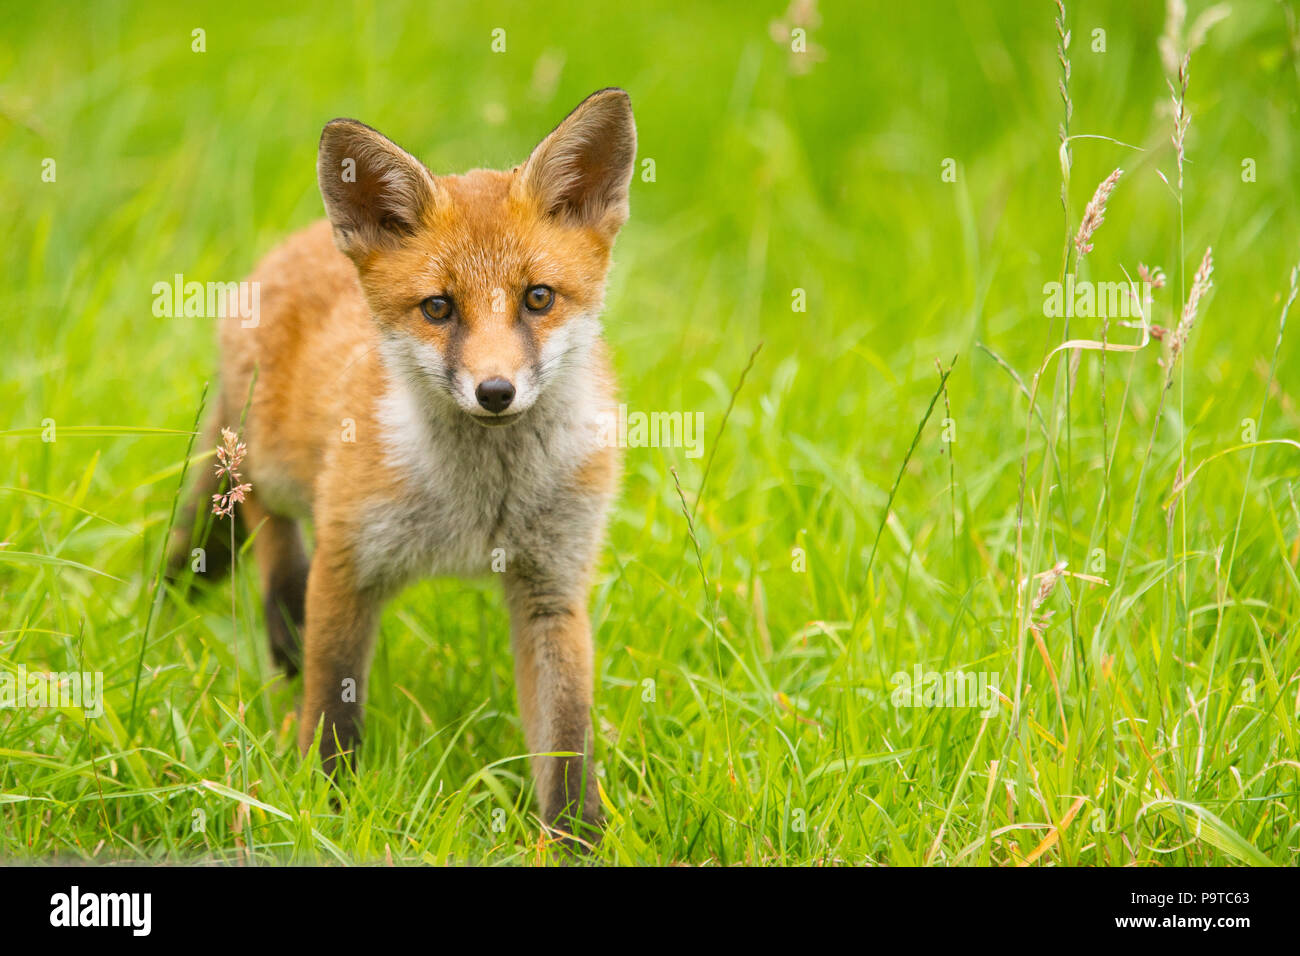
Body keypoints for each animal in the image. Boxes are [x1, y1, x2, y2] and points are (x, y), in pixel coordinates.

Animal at [169, 89, 636, 841]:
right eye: (438, 308)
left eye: (538, 297)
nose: (496, 392)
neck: (482, 508)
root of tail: (300, 239)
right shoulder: (348, 563)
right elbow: (332, 711)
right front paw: (325, 810)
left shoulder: (553, 589)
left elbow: (567, 746)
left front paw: (574, 843)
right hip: (268, 463)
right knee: (264, 522)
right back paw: (281, 623)